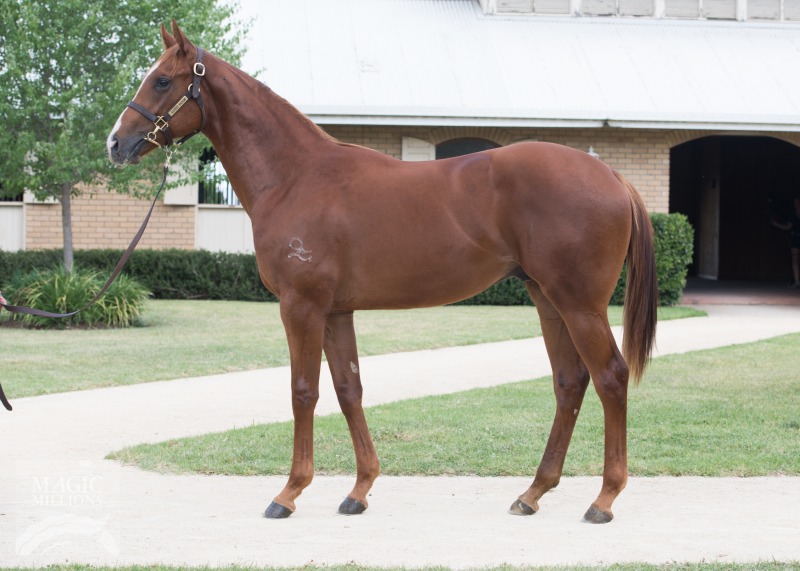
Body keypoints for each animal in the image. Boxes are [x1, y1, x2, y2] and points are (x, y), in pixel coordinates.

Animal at [107, 21, 658, 524]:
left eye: (162, 80)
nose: (116, 143)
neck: (296, 177)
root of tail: (612, 175)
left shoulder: (301, 306)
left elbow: (303, 392)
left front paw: (289, 493)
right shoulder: (335, 312)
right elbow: (348, 390)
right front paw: (359, 490)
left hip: (579, 304)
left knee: (610, 378)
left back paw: (604, 499)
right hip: (547, 298)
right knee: (569, 382)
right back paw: (532, 493)